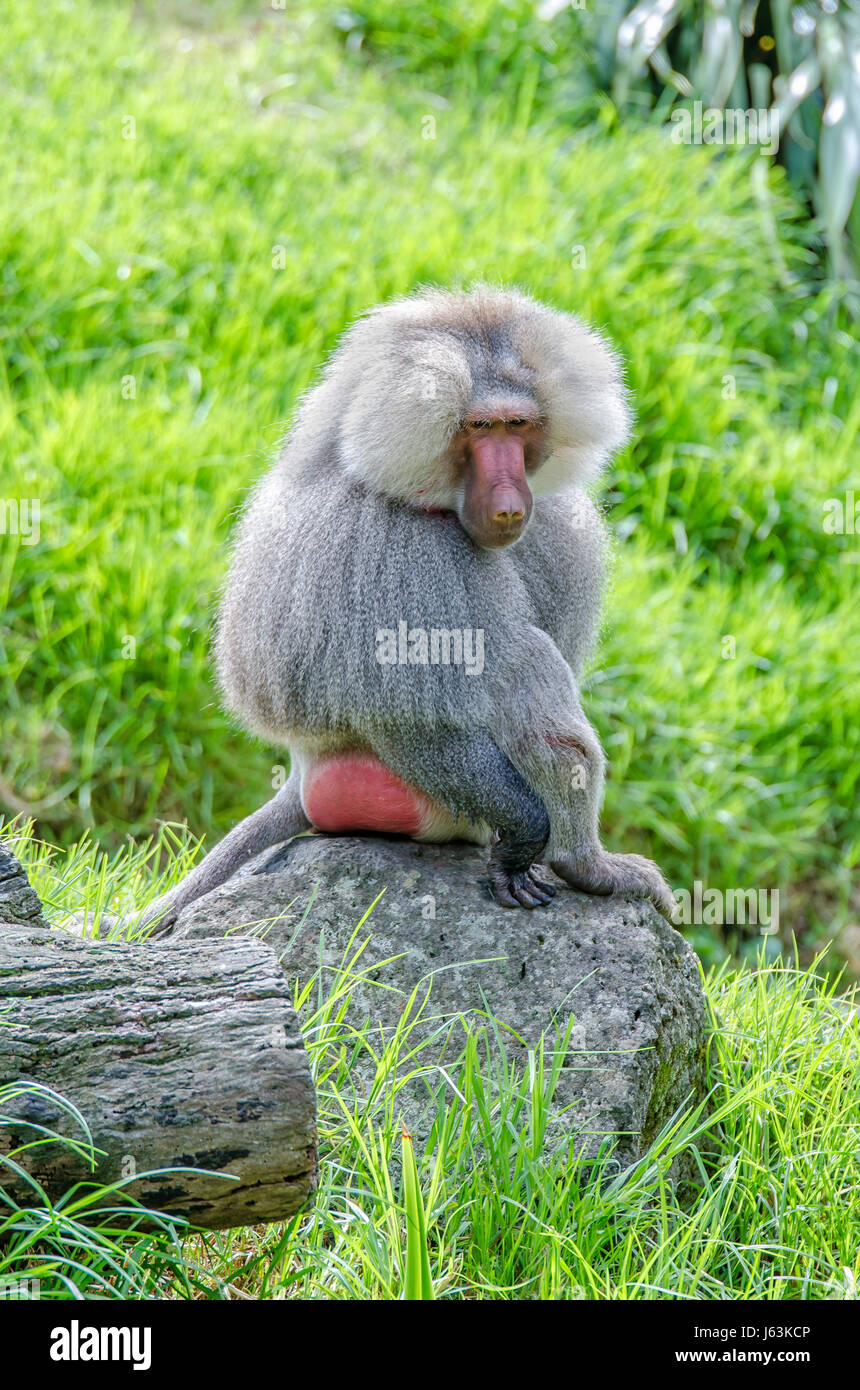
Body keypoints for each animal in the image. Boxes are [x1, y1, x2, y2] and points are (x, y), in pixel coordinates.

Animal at [139, 285, 674, 933]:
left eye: (518, 426)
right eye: (479, 427)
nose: (508, 507)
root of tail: (300, 777)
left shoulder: (556, 523)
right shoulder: (398, 548)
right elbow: (414, 720)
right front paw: (526, 839)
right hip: (427, 802)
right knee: (518, 664)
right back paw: (587, 865)